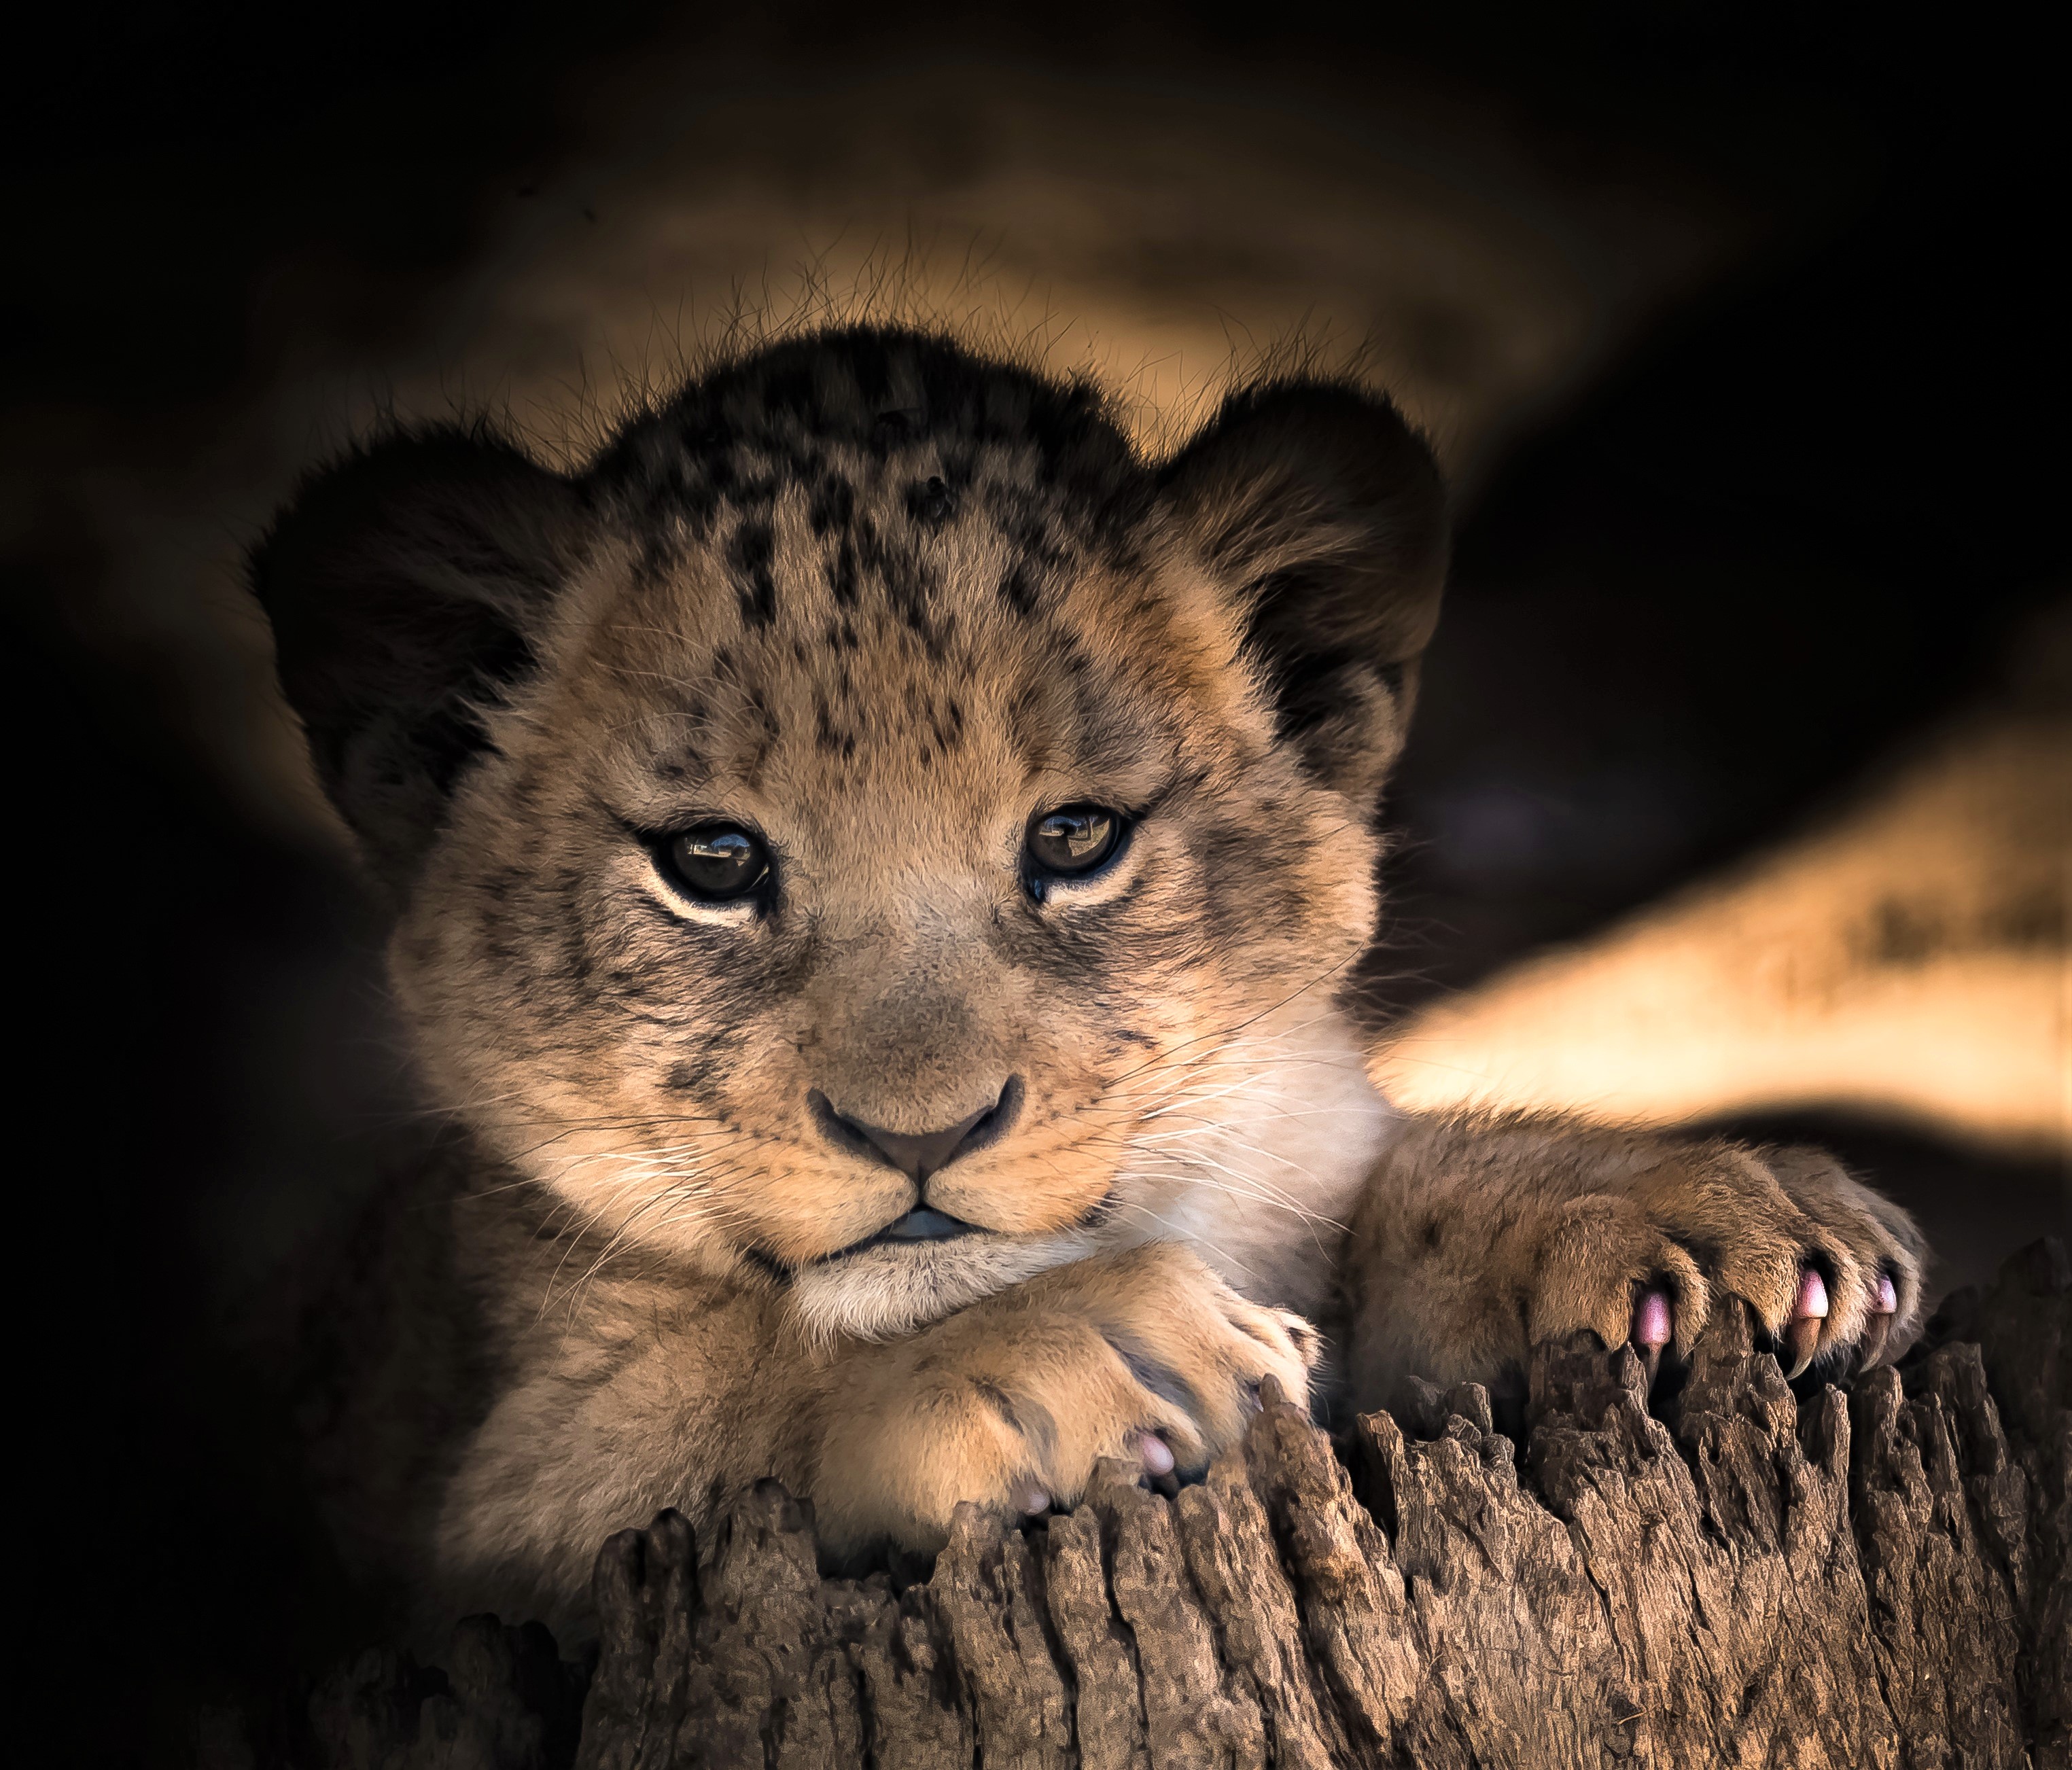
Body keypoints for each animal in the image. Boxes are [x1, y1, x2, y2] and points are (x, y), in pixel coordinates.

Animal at [252, 326, 1925, 1642]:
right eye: (711, 859)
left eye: (1074, 838)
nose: (920, 1136)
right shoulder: (483, 1508)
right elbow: (727, 1392)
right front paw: (1087, 1352)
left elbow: (1395, 1200)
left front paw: (1707, 1216)